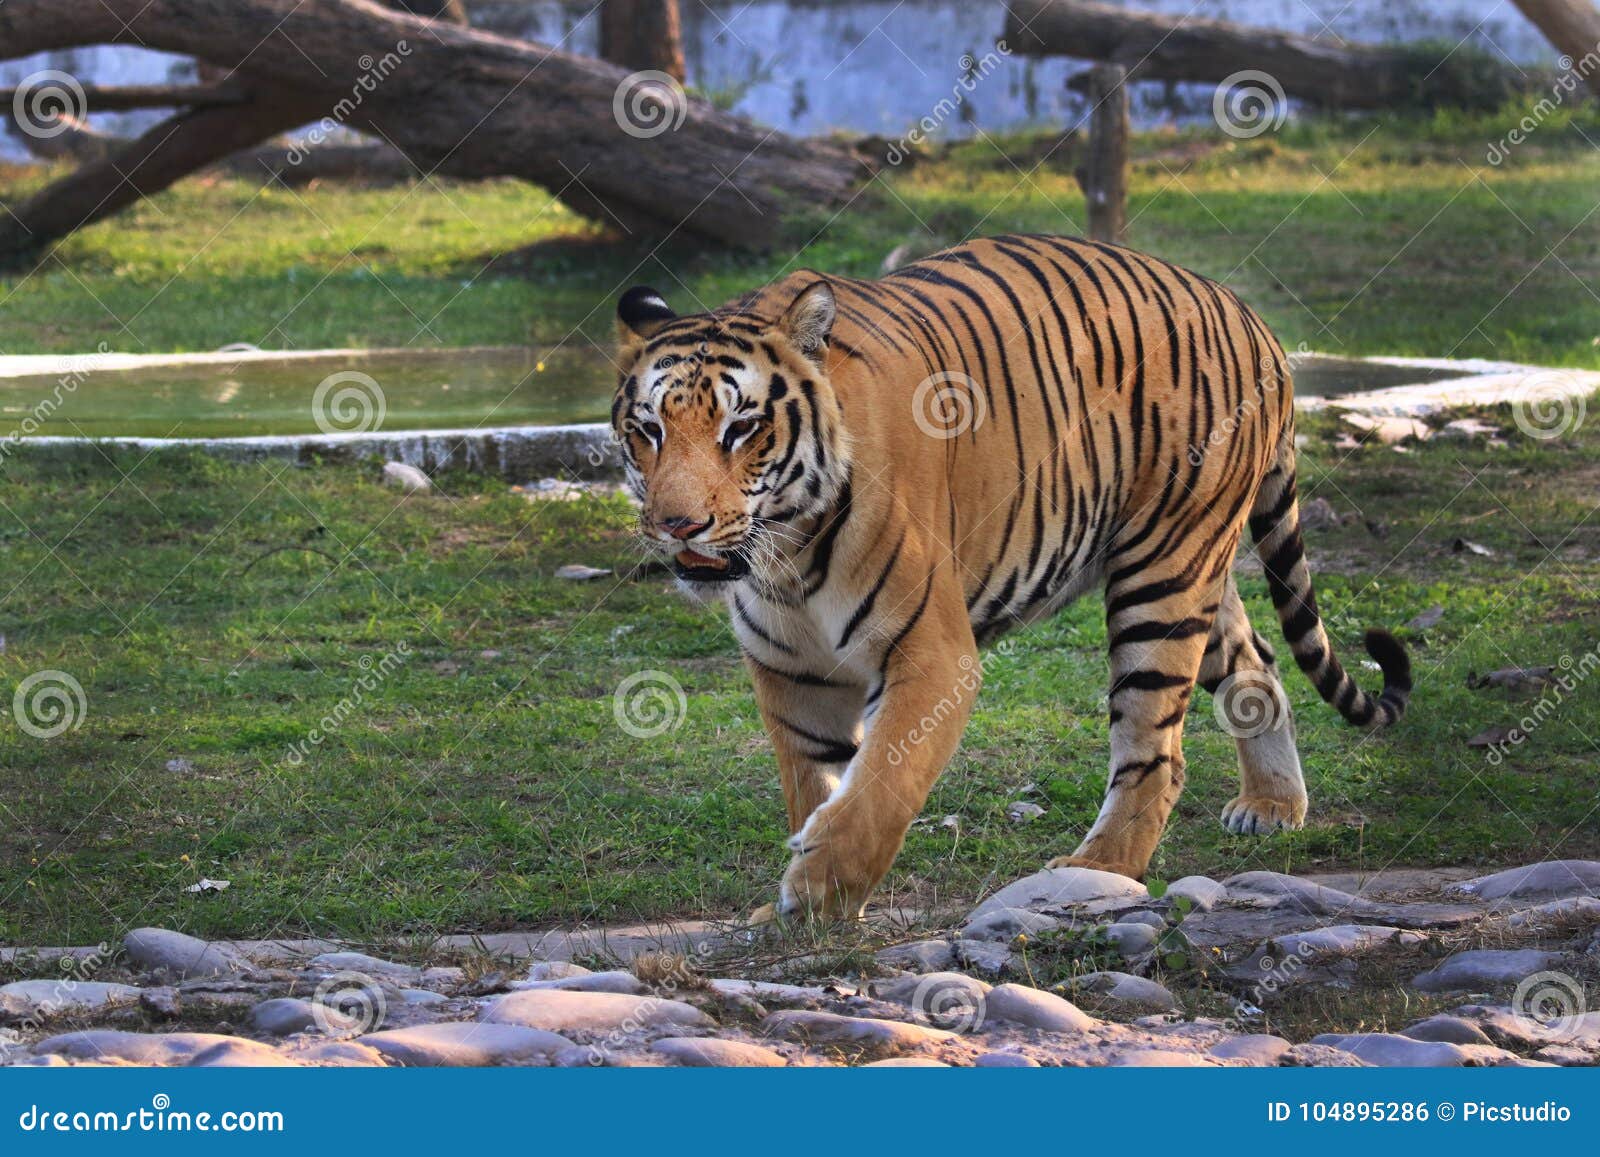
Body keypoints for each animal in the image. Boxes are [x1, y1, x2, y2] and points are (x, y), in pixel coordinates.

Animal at [610, 233, 1411, 920]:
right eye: (648, 429)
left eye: (740, 428)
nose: (677, 525)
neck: (785, 555)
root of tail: (1245, 312)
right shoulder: (791, 671)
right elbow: (815, 781)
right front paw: (802, 900)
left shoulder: (931, 654)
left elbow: (881, 782)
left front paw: (816, 890)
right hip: (1193, 568)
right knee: (1256, 662)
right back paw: (1272, 804)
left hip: (1163, 579)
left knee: (1157, 751)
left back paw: (1100, 868)